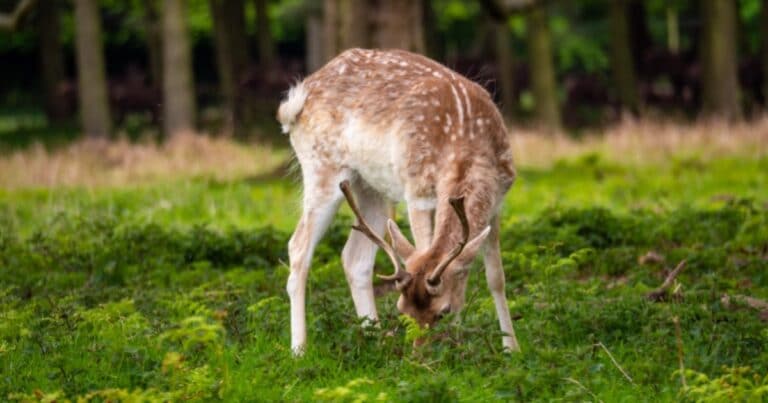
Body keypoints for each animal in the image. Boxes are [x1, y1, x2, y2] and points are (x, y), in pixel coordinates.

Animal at [277, 48, 519, 355]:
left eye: (444, 311)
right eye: (402, 309)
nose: (419, 354)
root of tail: (293, 103)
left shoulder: (498, 202)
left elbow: (496, 277)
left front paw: (511, 348)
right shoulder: (417, 191)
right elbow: (425, 249)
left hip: (372, 189)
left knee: (354, 257)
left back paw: (375, 338)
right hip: (321, 168)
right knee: (298, 247)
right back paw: (299, 349)